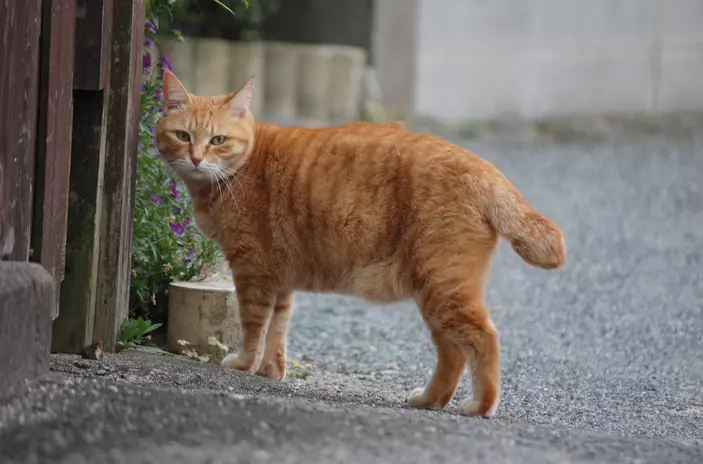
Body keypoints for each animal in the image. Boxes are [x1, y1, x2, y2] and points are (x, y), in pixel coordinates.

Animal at [155, 70, 568, 418]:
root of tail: (485, 168)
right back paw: (430, 400)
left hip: (443, 288)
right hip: (434, 295)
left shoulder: (252, 269)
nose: (196, 158)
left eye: (218, 140)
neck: (239, 170)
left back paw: (481, 405)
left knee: (484, 339)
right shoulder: (280, 278)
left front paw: (244, 364)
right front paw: (271, 371)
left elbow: (255, 325)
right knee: (452, 353)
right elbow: (278, 328)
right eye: (183, 136)